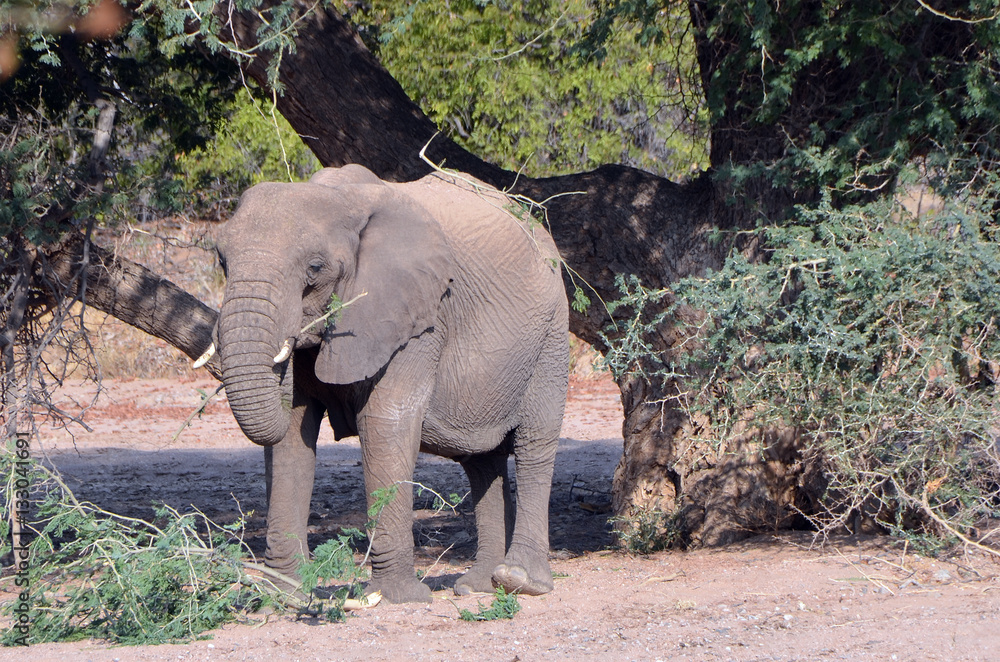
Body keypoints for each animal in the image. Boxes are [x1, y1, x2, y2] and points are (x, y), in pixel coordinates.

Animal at [205, 164, 569, 603]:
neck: (341, 200)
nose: (286, 342)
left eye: (314, 268)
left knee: (535, 443)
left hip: (551, 333)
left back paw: (521, 581)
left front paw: (396, 598)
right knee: (482, 460)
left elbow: (385, 421)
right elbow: (292, 432)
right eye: (222, 260)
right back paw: (479, 586)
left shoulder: (420, 315)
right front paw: (283, 595)